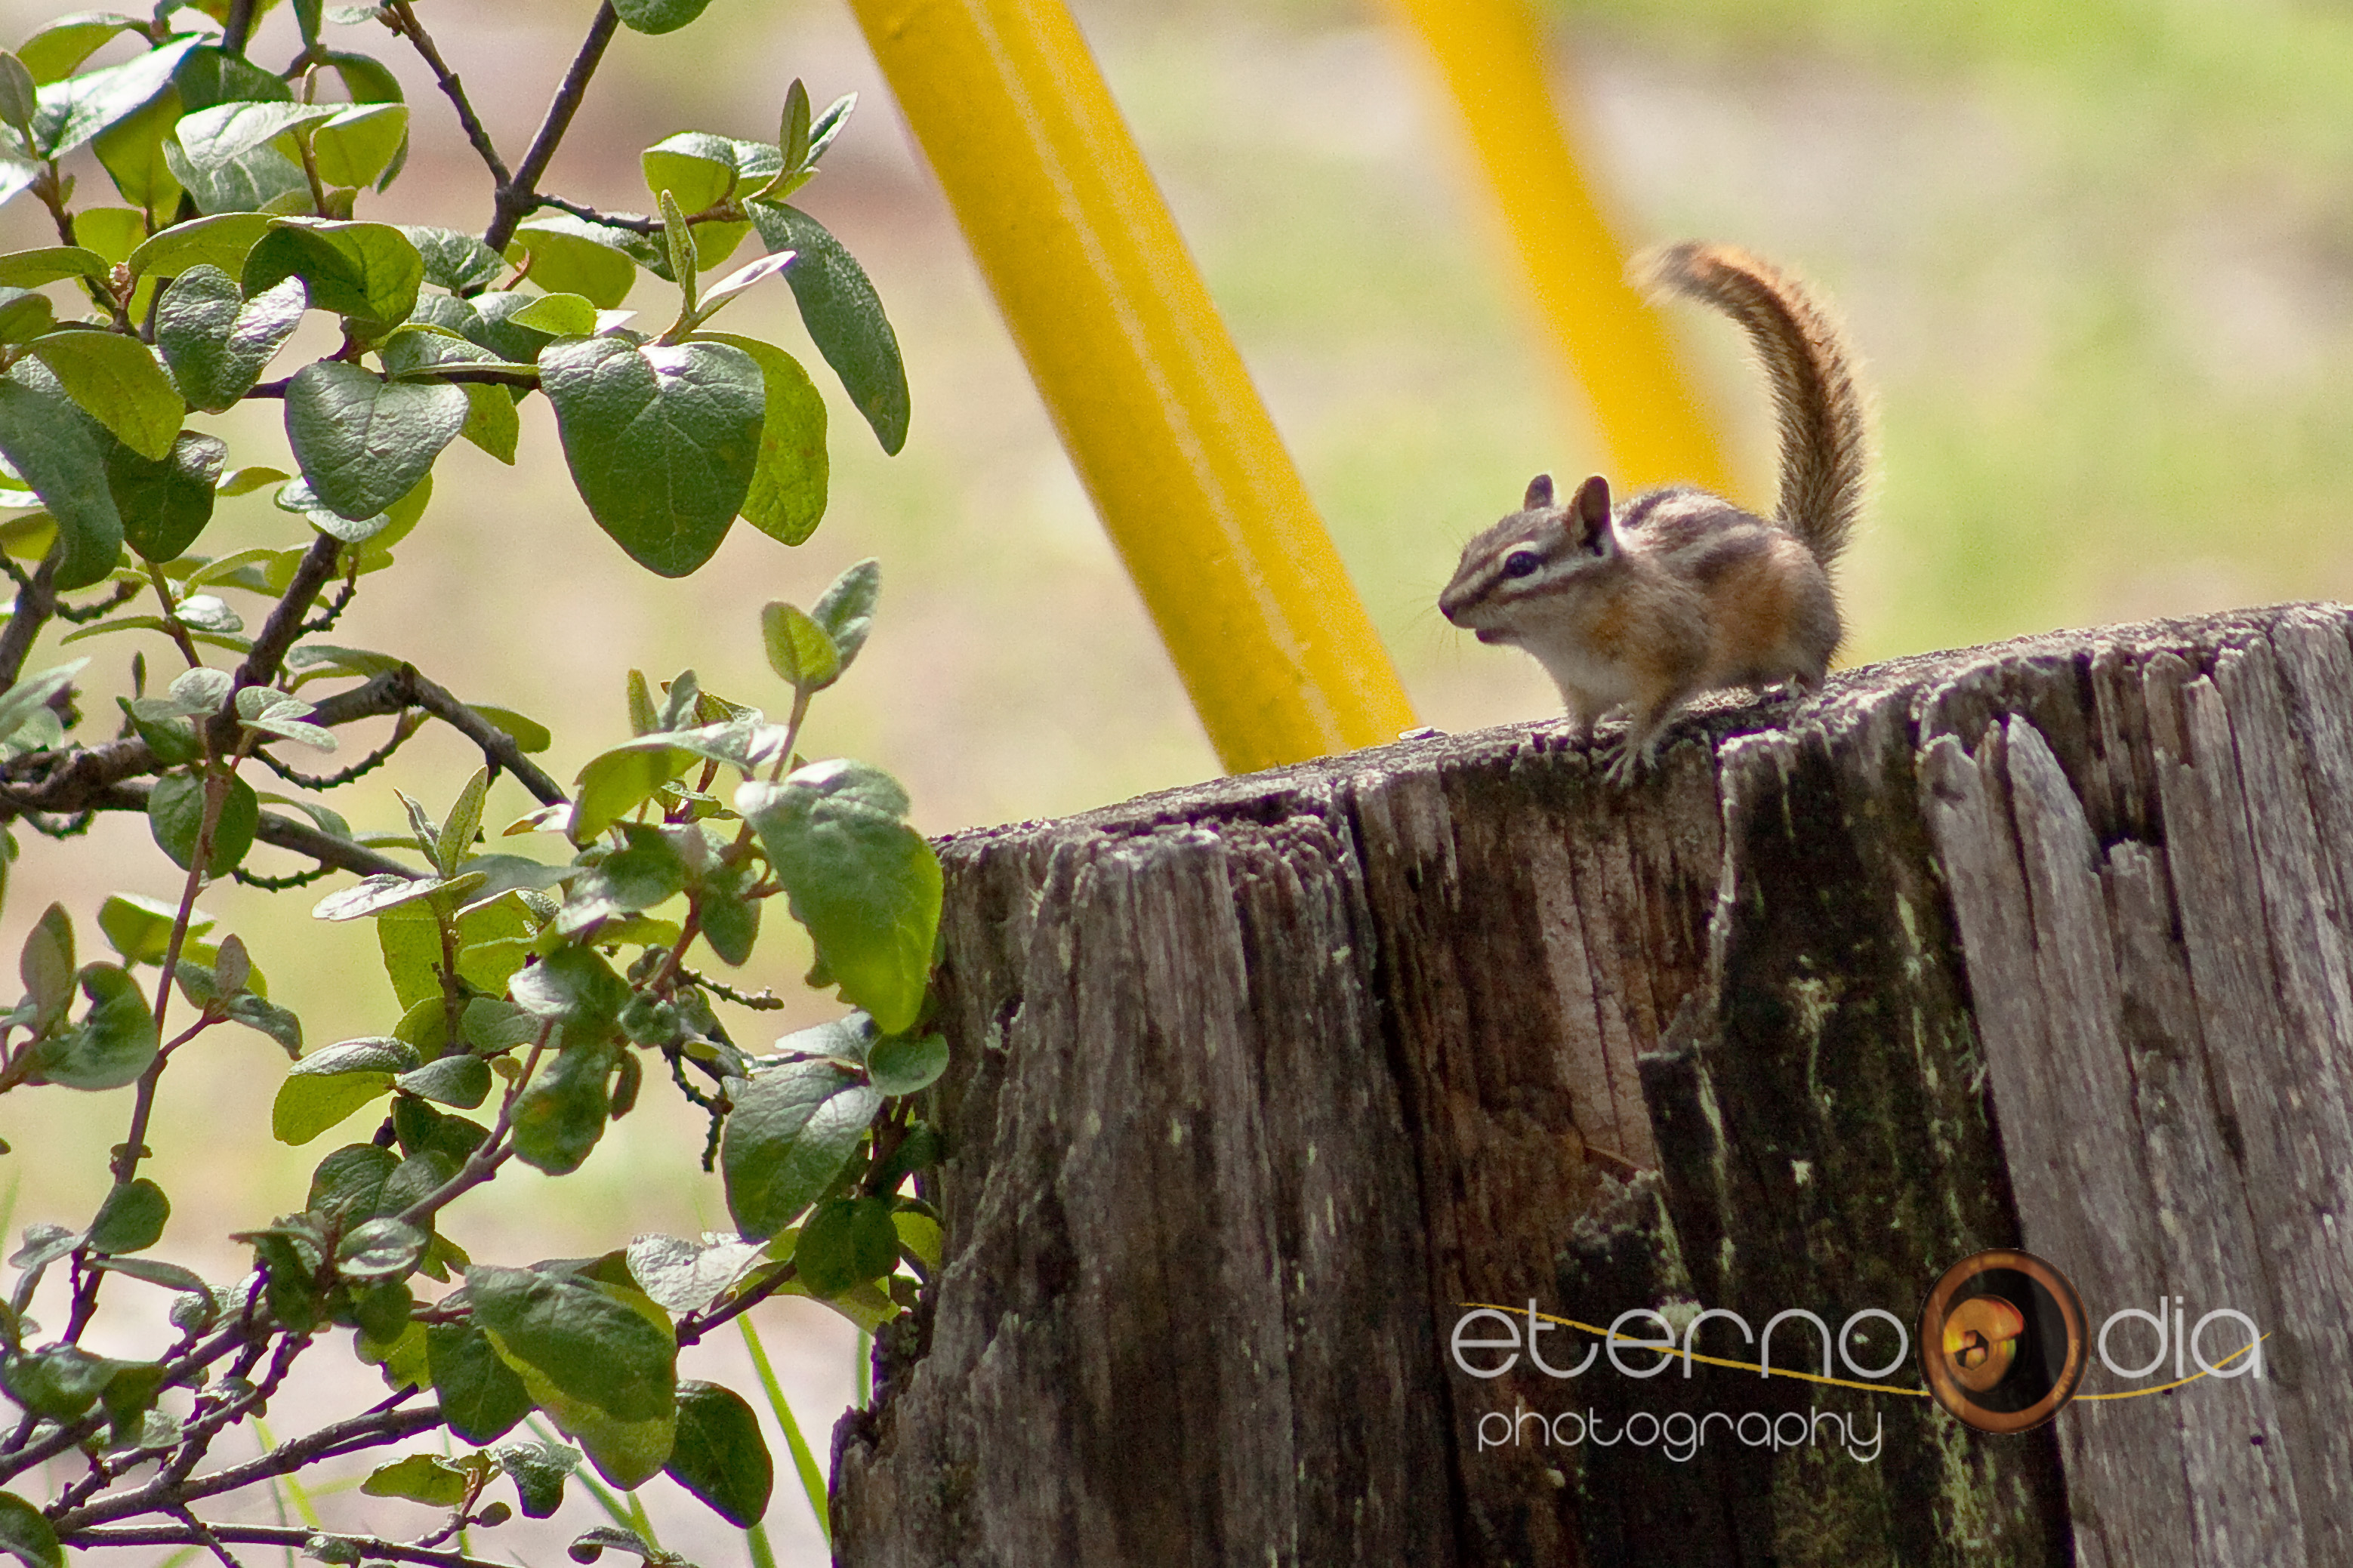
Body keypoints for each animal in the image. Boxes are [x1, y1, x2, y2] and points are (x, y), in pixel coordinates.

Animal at [1437, 241, 1871, 784]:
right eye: (1468, 551)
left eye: (1520, 564)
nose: (1446, 606)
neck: (1565, 638)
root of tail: (1798, 542)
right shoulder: (1578, 686)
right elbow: (1581, 717)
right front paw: (1559, 736)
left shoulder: (1682, 651)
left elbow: (1663, 704)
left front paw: (1633, 747)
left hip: (1801, 623)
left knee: (1815, 662)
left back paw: (1795, 687)